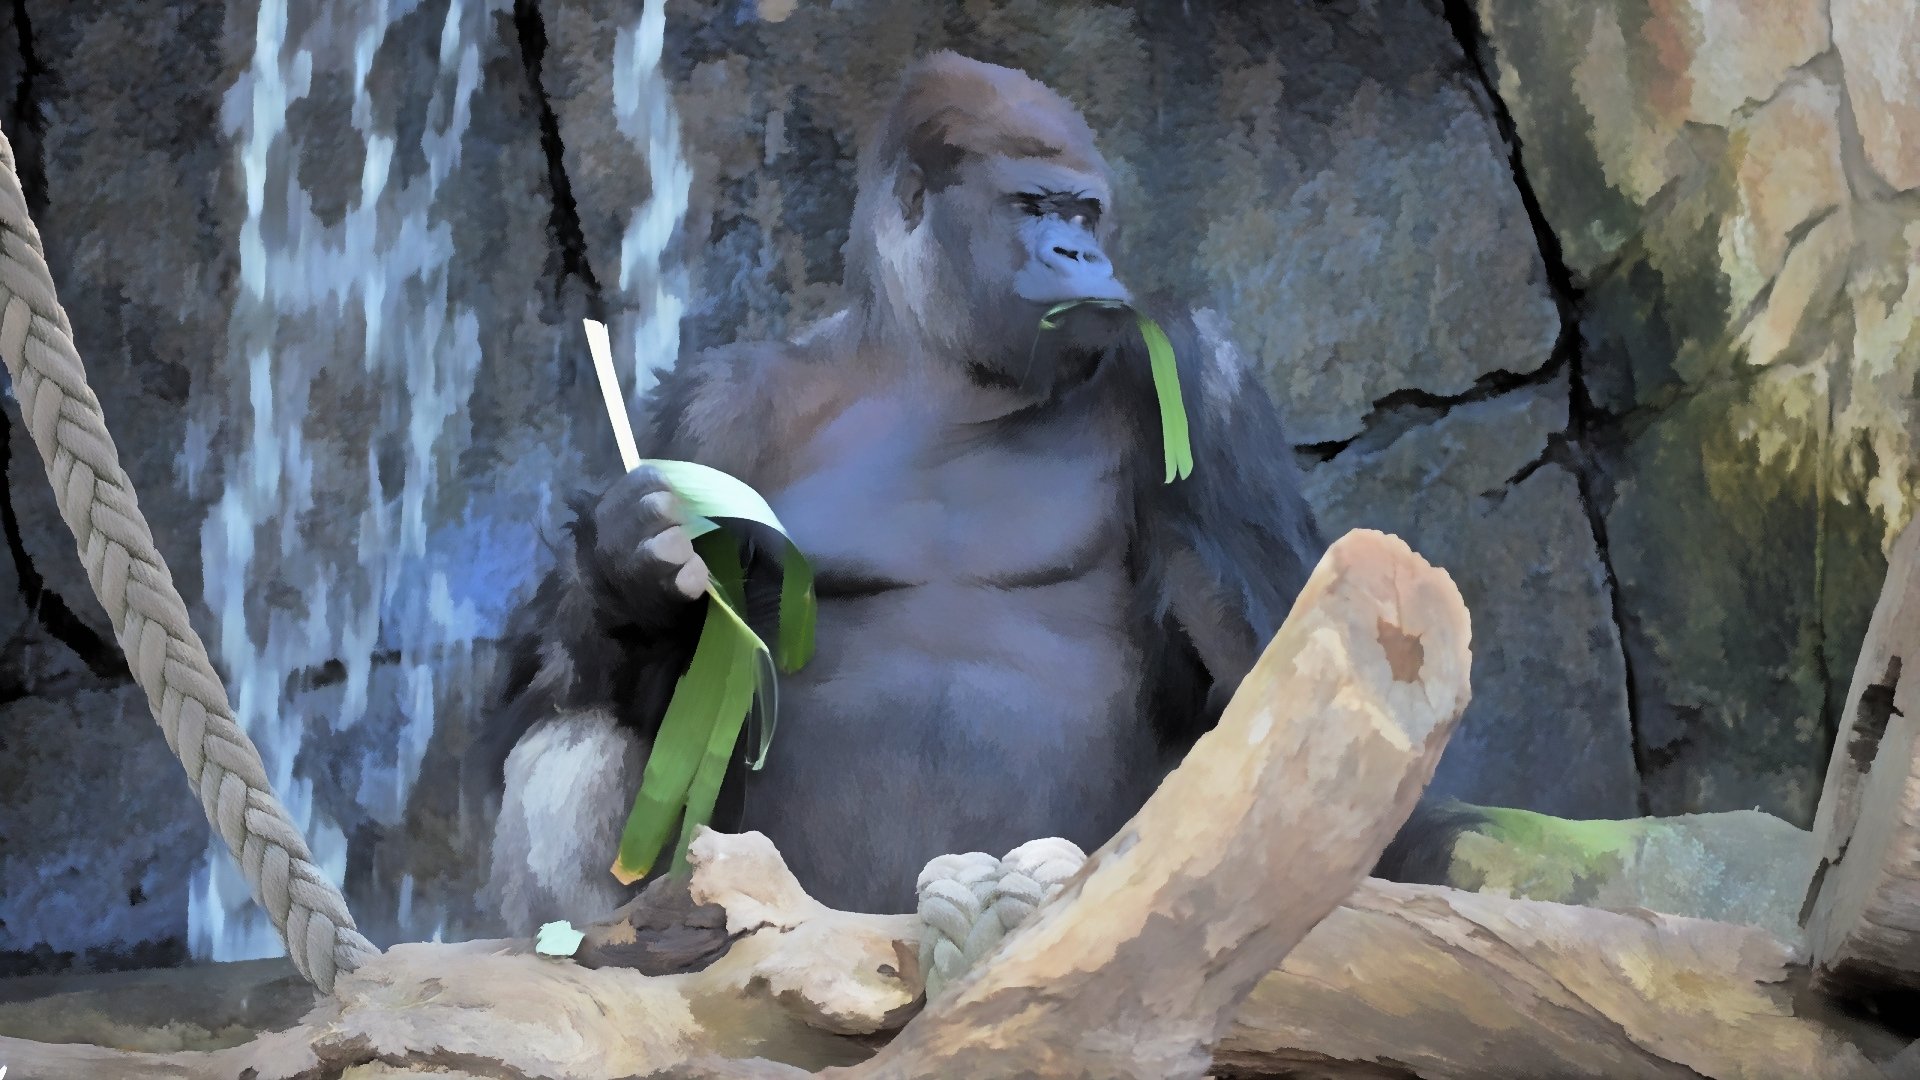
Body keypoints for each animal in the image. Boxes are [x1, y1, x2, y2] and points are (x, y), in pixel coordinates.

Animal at [464, 52, 1336, 930]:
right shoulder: (708, 411)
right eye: (1031, 205)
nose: (1080, 256)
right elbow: (540, 680)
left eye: (1087, 216)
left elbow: (1275, 657)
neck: (937, 370)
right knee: (570, 729)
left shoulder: (1204, 374)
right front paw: (627, 564)